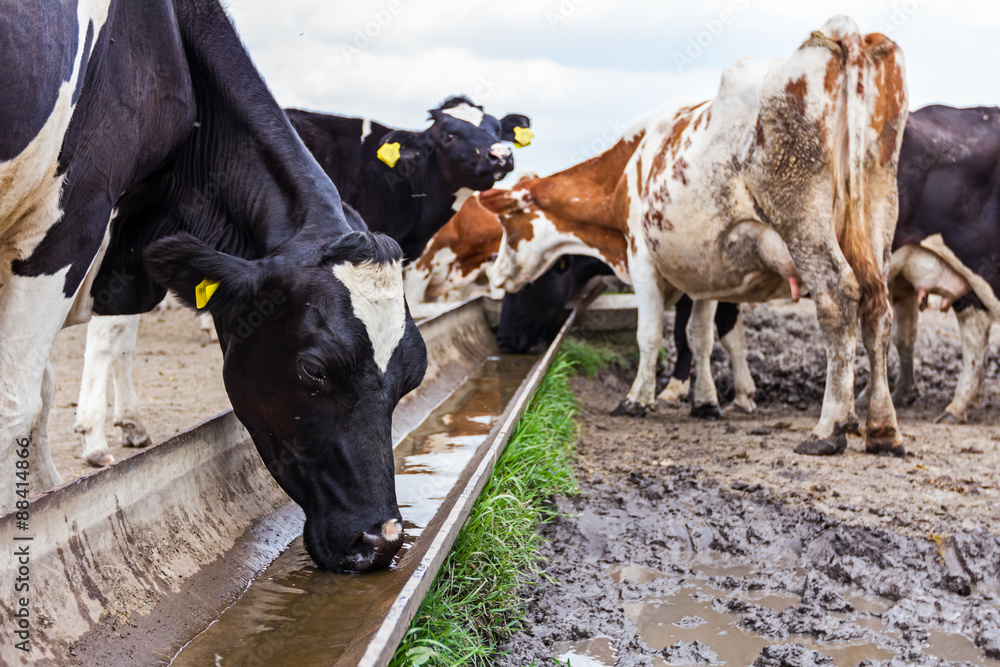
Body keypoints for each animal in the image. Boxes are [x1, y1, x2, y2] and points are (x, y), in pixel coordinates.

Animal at [0, 0, 428, 573]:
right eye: (314, 370)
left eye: (414, 376)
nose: (380, 541)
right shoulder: (68, 220)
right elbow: (18, 402)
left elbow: (44, 390)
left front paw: (44, 489)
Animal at [485, 17, 908, 456]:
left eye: (508, 223)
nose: (493, 275)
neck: (627, 168)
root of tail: (841, 33)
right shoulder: (708, 270)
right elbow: (700, 336)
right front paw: (705, 402)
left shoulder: (641, 257)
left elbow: (650, 333)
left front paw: (637, 400)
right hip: (879, 211)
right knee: (878, 310)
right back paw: (882, 429)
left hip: (803, 218)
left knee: (839, 298)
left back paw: (830, 428)